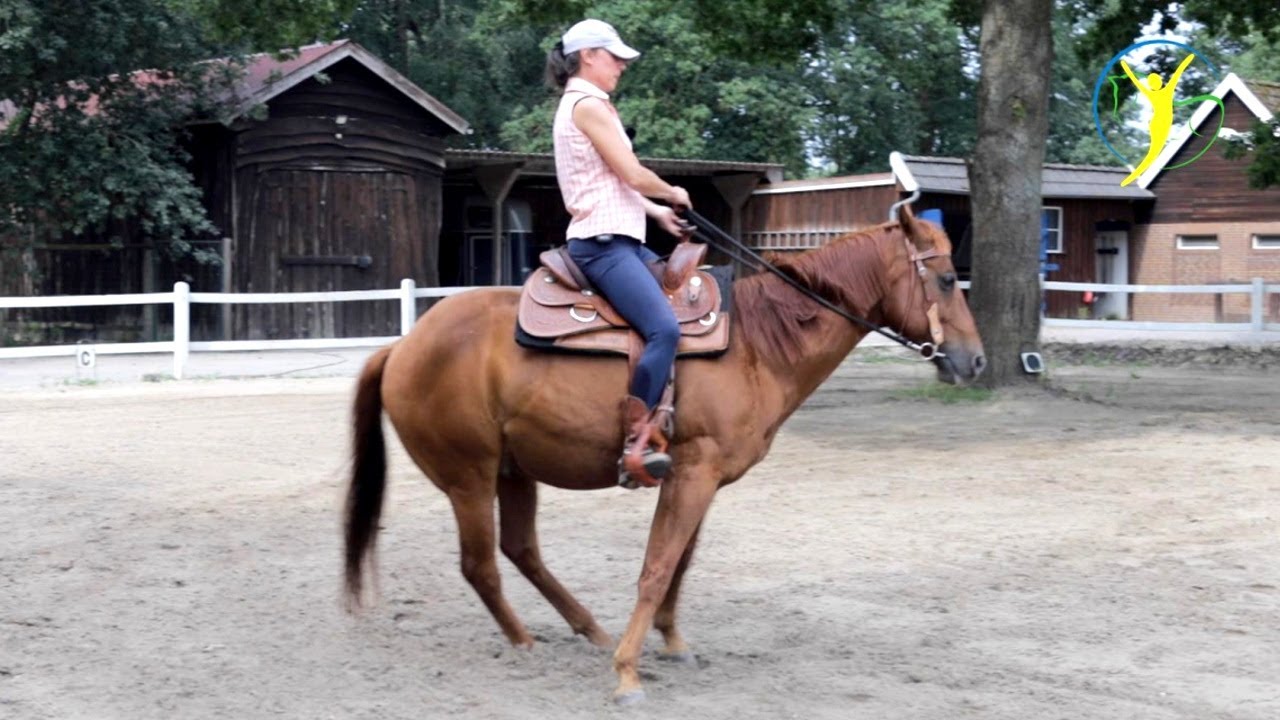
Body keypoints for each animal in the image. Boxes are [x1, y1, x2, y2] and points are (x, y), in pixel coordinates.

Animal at [343, 207, 986, 704]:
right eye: (946, 279)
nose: (974, 361)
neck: (757, 343)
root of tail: (402, 346)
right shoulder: (693, 473)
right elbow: (657, 567)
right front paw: (628, 673)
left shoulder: (701, 478)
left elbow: (680, 563)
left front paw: (671, 643)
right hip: (469, 477)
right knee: (481, 565)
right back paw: (527, 641)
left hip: (513, 470)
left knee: (521, 550)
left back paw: (588, 629)